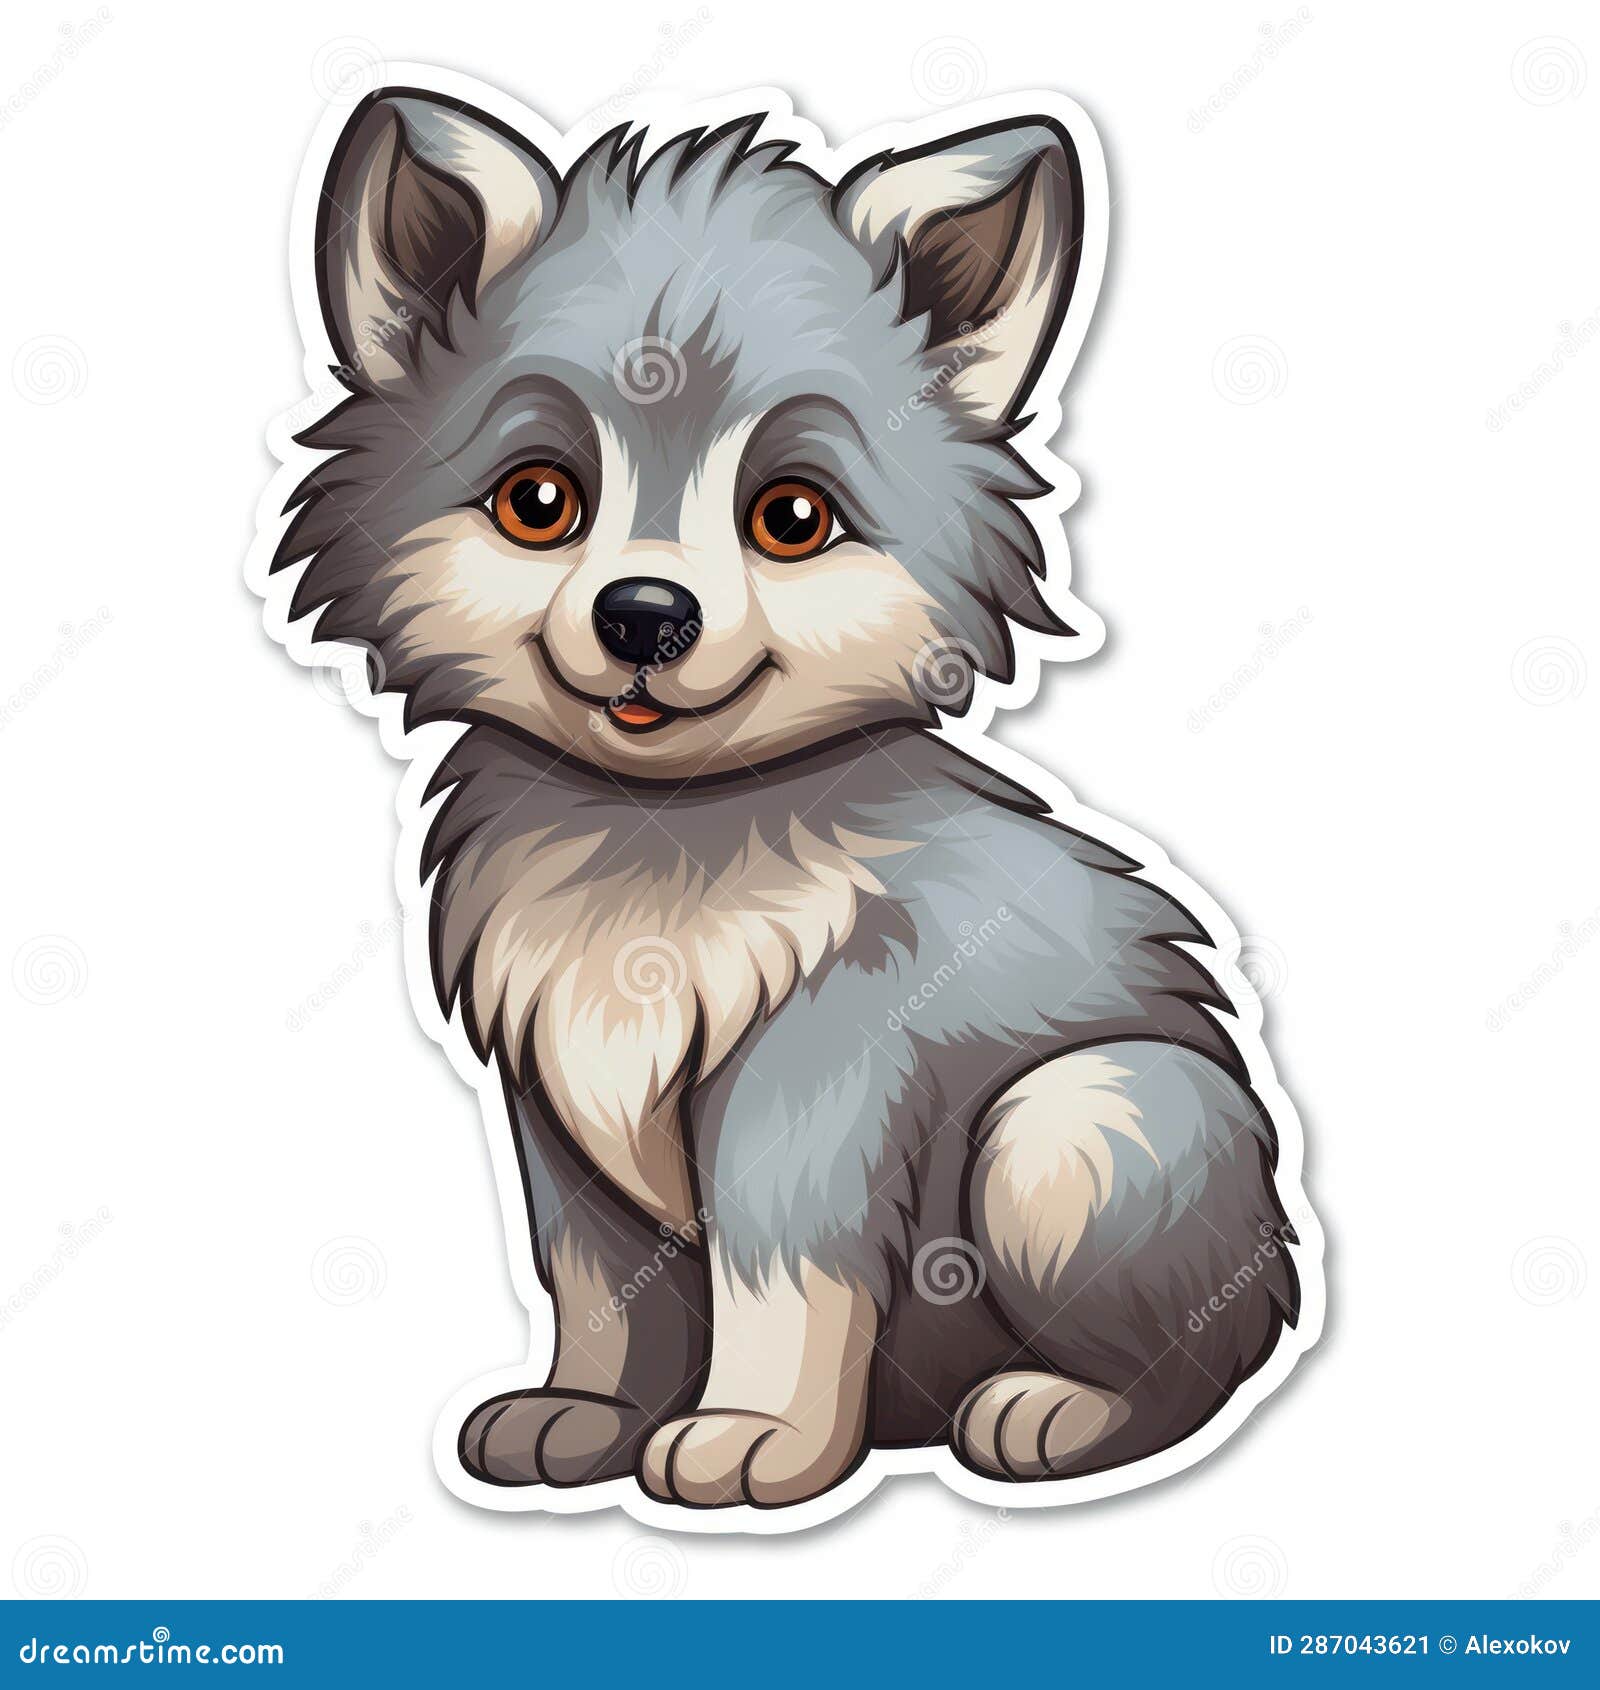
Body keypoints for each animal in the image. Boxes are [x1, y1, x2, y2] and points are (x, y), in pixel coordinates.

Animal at [265, 83, 1306, 1512]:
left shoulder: (816, 1078)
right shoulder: (557, 1103)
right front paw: (588, 1413)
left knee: (1194, 1366)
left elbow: (781, 1280)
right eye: (539, 501)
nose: (645, 613)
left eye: (793, 518)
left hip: (1078, 1121)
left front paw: (753, 1436)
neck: (653, 852)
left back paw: (1055, 1410)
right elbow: (601, 1289)